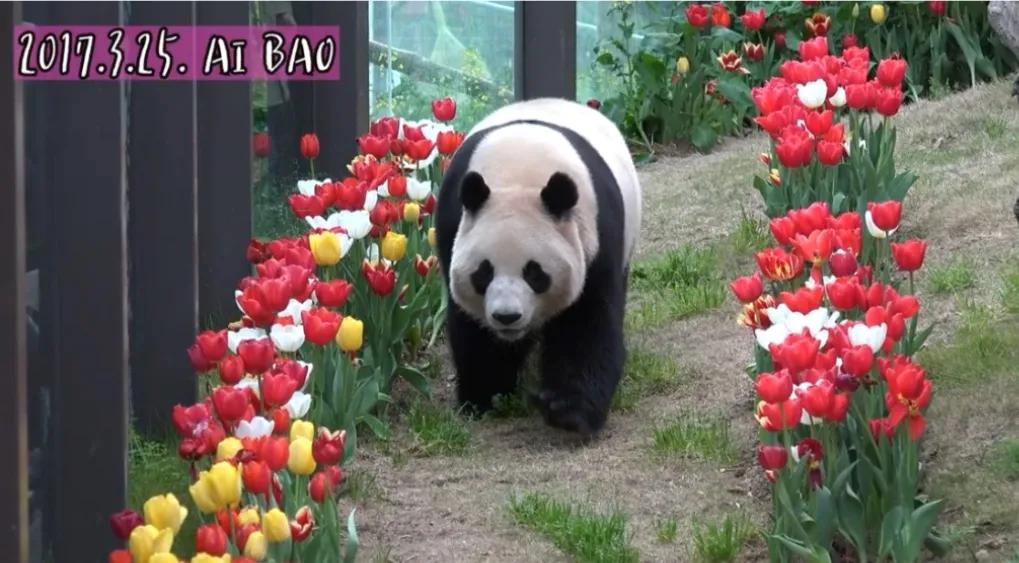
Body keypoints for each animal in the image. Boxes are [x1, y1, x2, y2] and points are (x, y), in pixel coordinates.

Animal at [435, 98, 642, 436]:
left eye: (534, 273)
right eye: (483, 273)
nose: (507, 317)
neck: (518, 169)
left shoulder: (597, 235)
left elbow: (585, 324)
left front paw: (568, 411)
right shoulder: (452, 223)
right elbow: (474, 332)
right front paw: (484, 396)